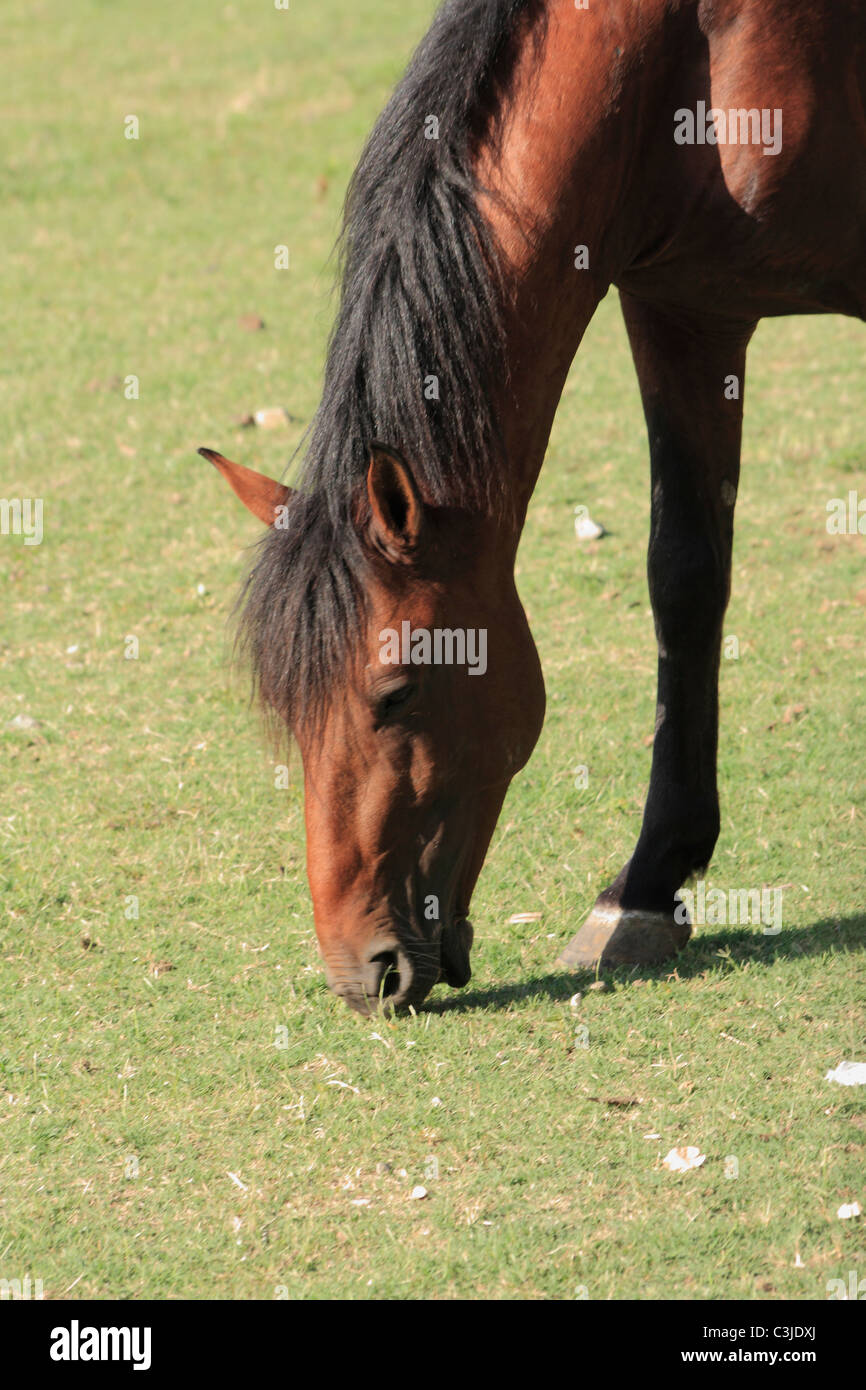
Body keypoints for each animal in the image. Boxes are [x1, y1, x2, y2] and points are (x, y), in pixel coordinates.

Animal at [200, 0, 866, 1014]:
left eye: (397, 690)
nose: (362, 974)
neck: (697, 56)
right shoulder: (685, 309)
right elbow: (685, 579)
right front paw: (645, 887)